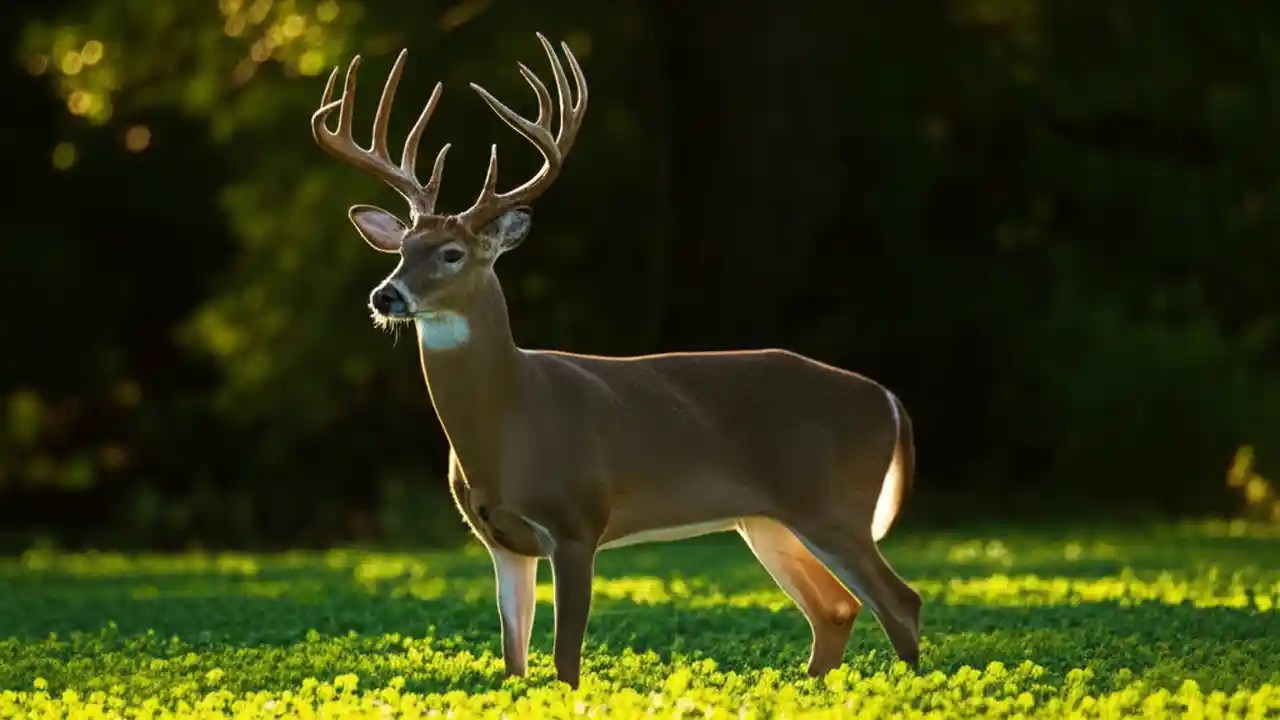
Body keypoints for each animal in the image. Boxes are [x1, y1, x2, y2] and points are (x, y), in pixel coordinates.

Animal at [311, 32, 922, 688]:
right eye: (402, 248)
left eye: (451, 253)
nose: (385, 295)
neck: (507, 422)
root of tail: (890, 401)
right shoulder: (501, 540)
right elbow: (513, 661)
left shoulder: (578, 522)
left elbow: (565, 660)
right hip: (767, 520)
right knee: (837, 608)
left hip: (833, 505)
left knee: (899, 600)